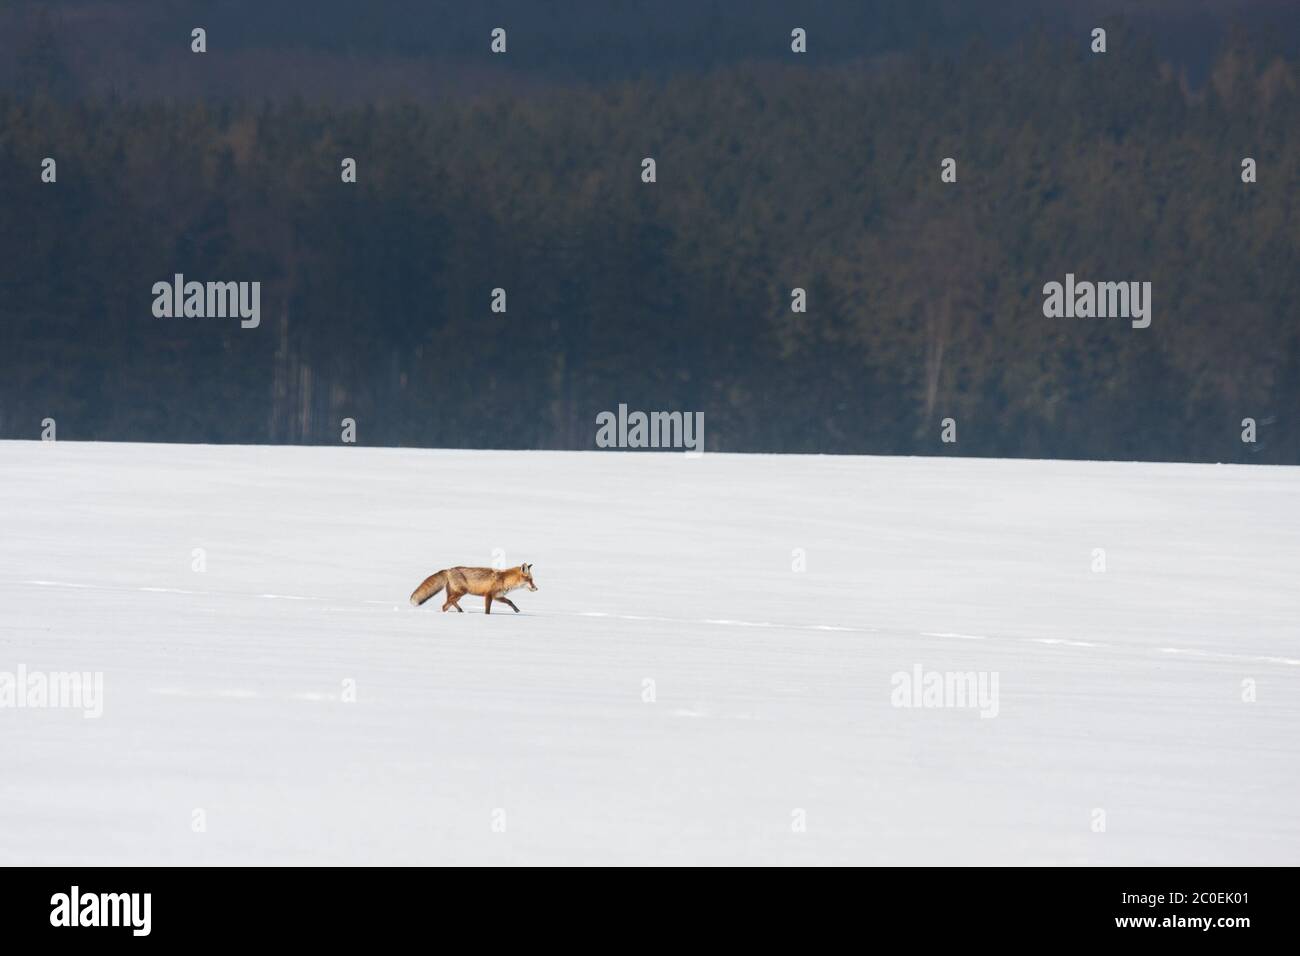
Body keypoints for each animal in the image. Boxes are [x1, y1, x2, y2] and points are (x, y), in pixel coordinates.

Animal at [409, 563, 539, 614]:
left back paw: (459, 611)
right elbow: (487, 610)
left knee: (448, 604)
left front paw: (517, 610)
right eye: (530, 580)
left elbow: (510, 601)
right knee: (446, 603)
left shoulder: (497, 596)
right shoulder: (489, 595)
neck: (504, 579)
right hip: (461, 592)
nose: (536, 588)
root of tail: (449, 569)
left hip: (458, 595)